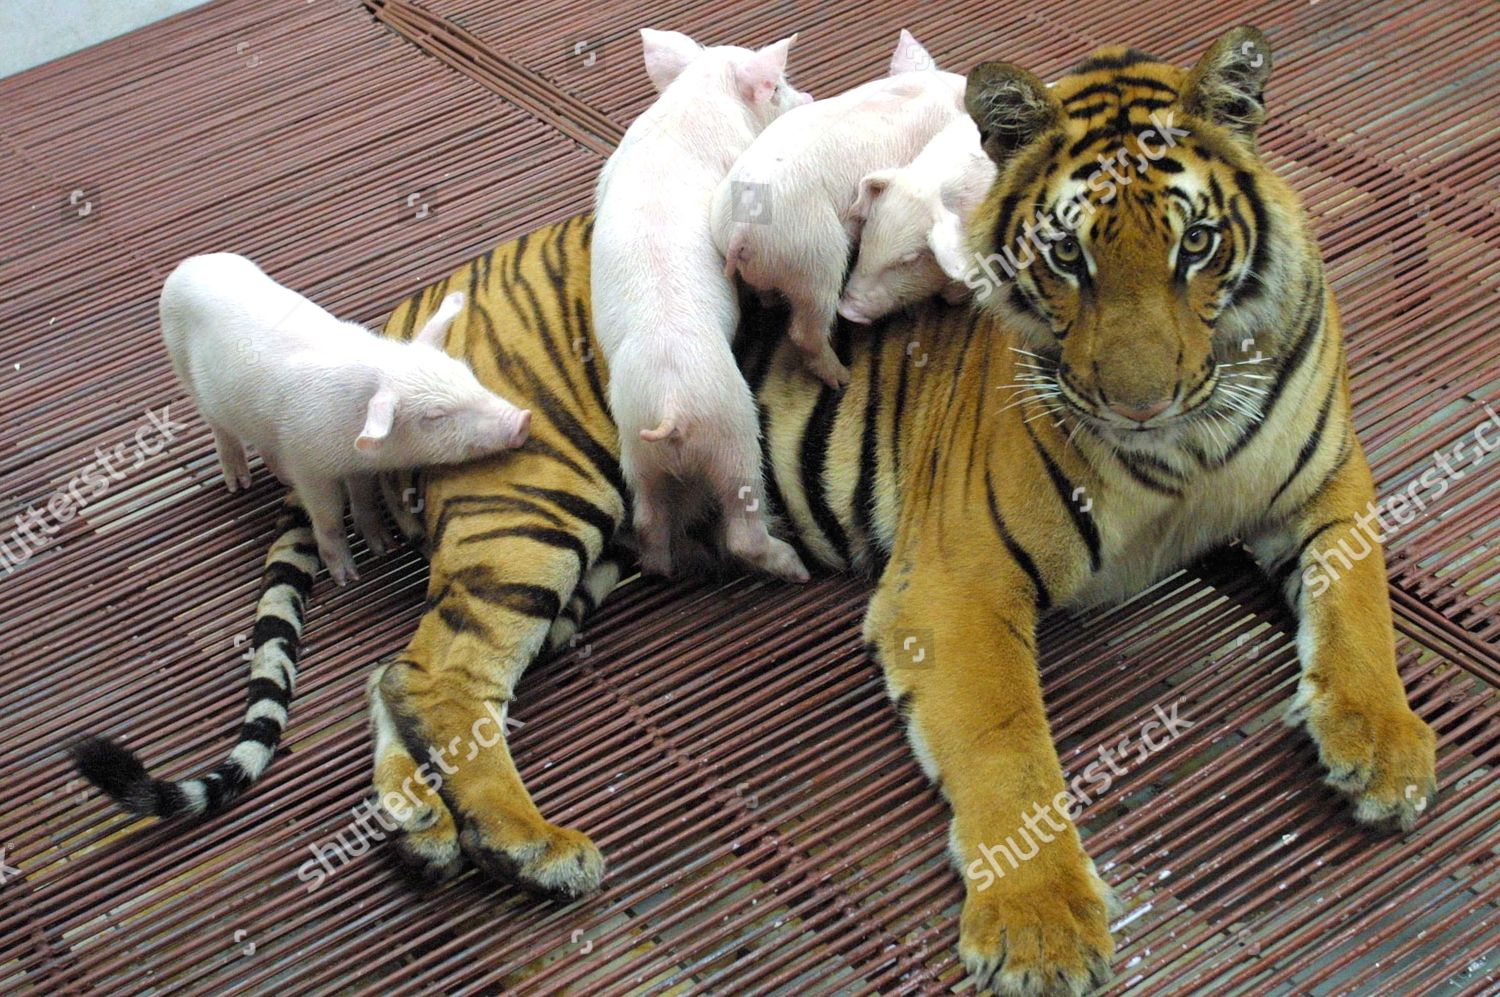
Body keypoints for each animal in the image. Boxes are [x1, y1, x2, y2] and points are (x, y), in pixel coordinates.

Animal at [74, 27, 1437, 996]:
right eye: (1069, 259)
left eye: (1196, 251)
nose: (1137, 396)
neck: (1188, 442)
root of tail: (408, 313)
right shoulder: (958, 578)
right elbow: (1011, 754)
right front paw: (1039, 925)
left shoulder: (1331, 489)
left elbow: (1360, 602)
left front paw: (1379, 743)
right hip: (539, 497)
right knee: (444, 675)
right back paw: (528, 843)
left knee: (401, 673)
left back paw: (422, 824)